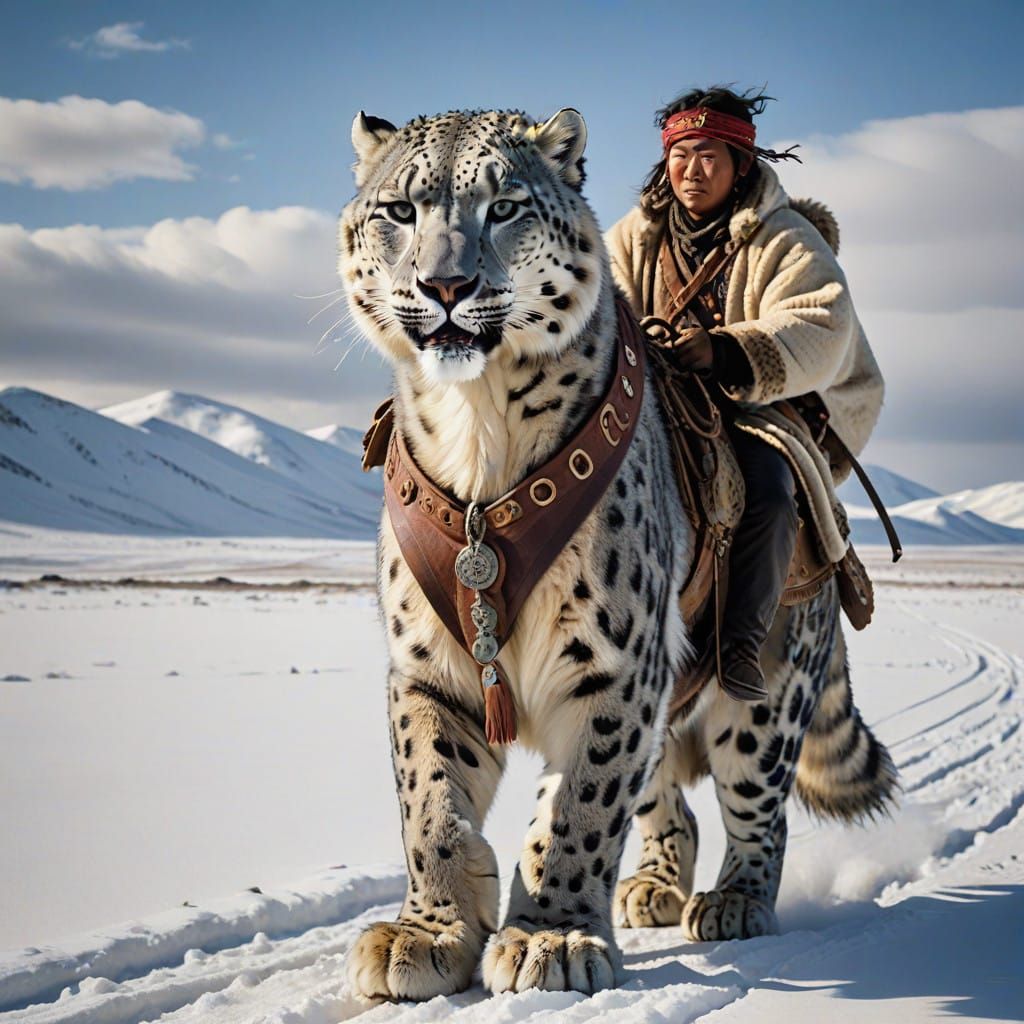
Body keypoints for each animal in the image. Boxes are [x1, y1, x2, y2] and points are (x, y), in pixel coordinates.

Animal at [336, 107, 897, 1003]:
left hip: (764, 700)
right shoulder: (430, 661)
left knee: (758, 808)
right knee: (672, 802)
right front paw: (428, 932)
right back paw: (655, 887)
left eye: (505, 207)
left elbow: (579, 803)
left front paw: (552, 934)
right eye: (399, 210)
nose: (446, 286)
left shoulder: (612, 659)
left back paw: (732, 902)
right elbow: (429, 800)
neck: (477, 431)